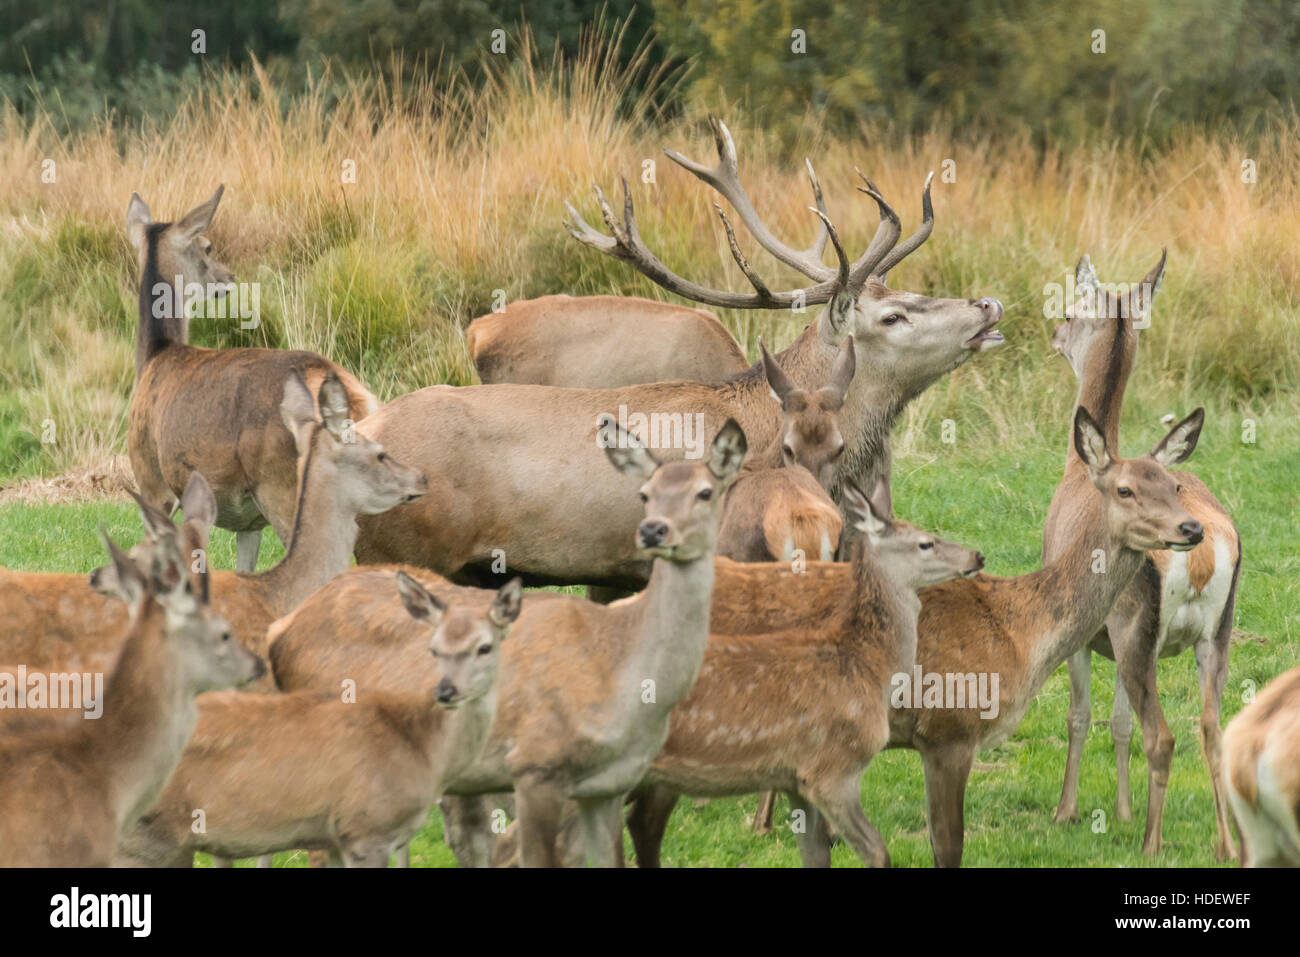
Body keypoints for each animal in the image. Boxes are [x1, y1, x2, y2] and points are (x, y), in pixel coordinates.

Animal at [115, 574, 522, 868]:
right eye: (434, 649)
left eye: (485, 647)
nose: (447, 691)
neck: (423, 751)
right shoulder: (366, 827)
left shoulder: (337, 835)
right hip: (146, 836)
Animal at [126, 186, 381, 572]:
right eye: (208, 247)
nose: (228, 278)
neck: (154, 358)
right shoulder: (248, 522)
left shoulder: (151, 482)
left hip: (284, 484)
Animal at [1045, 252, 1242, 860]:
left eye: (1071, 312)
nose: (1054, 334)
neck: (1075, 471)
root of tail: (1204, 554)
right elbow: (1119, 722)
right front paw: (1124, 812)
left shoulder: (1083, 628)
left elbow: (1081, 716)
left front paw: (1067, 811)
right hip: (1214, 634)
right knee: (1213, 728)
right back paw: (1225, 846)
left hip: (1138, 630)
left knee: (1165, 736)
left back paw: (1153, 844)